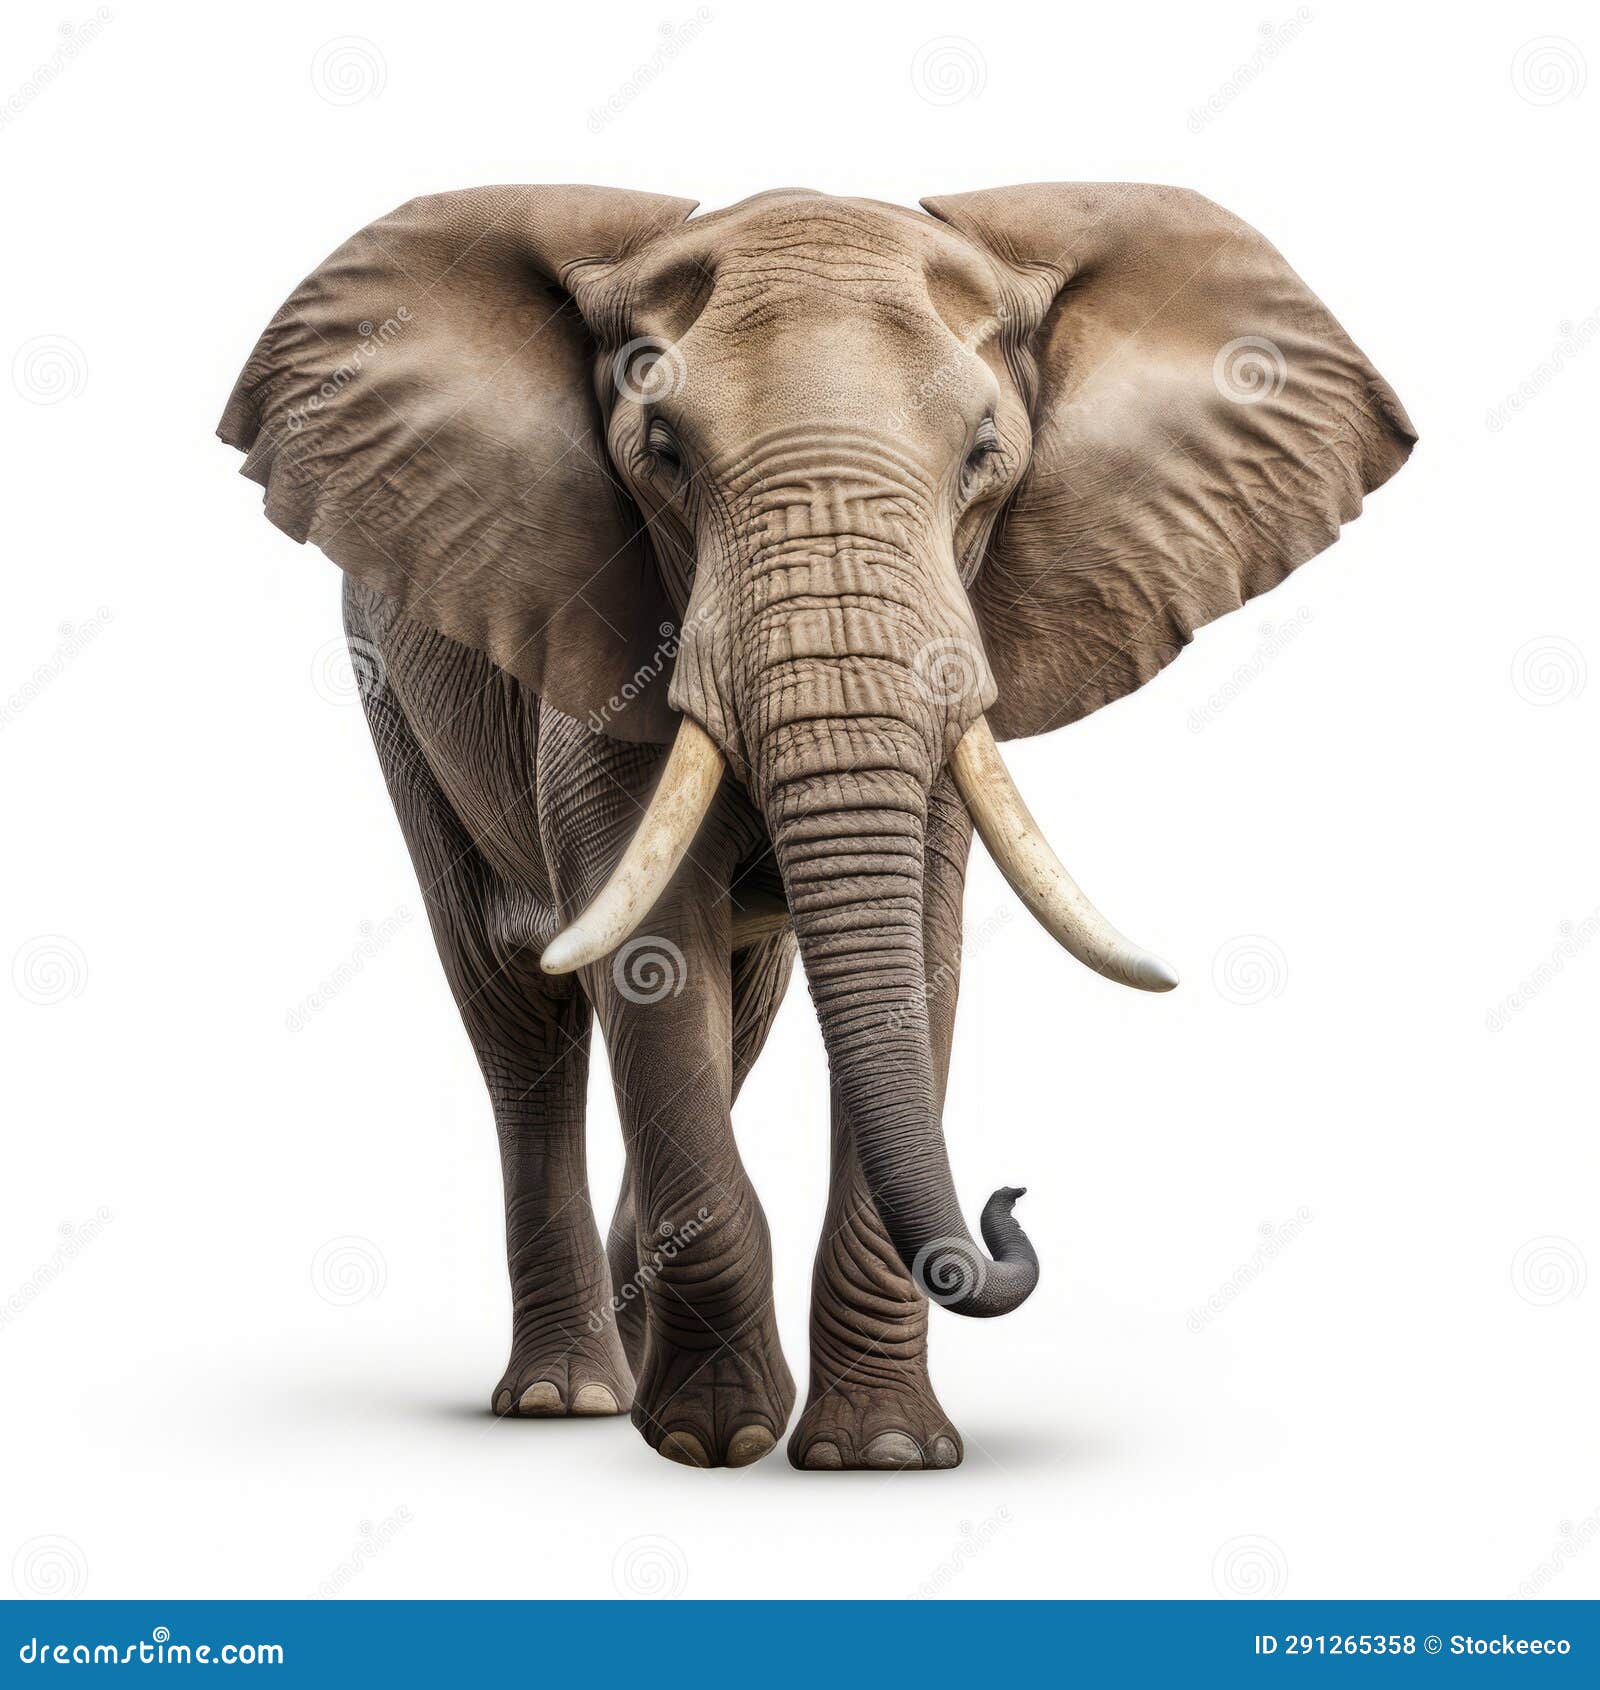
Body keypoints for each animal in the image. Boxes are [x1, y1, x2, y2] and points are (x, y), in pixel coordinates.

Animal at [219, 183, 1413, 1470]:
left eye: (983, 456)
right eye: (663, 454)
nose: (1007, 1207)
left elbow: (914, 958)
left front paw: (879, 1456)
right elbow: (650, 959)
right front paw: (714, 1439)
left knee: (736, 1009)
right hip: (393, 681)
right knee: (517, 1017)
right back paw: (567, 1397)